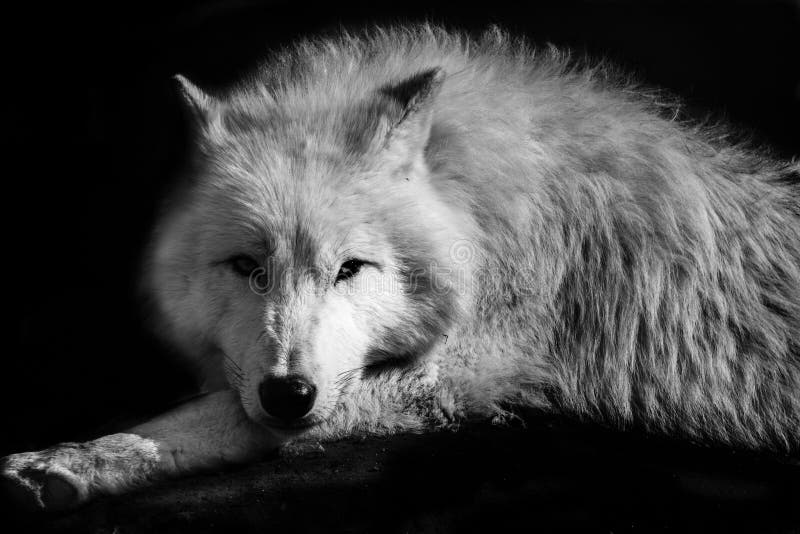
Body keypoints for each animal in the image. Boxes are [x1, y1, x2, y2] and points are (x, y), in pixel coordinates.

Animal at [2, 25, 799, 512]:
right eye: (247, 266)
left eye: (351, 269)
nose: (289, 391)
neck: (478, 208)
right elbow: (225, 402)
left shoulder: (462, 375)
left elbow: (223, 414)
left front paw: (78, 461)